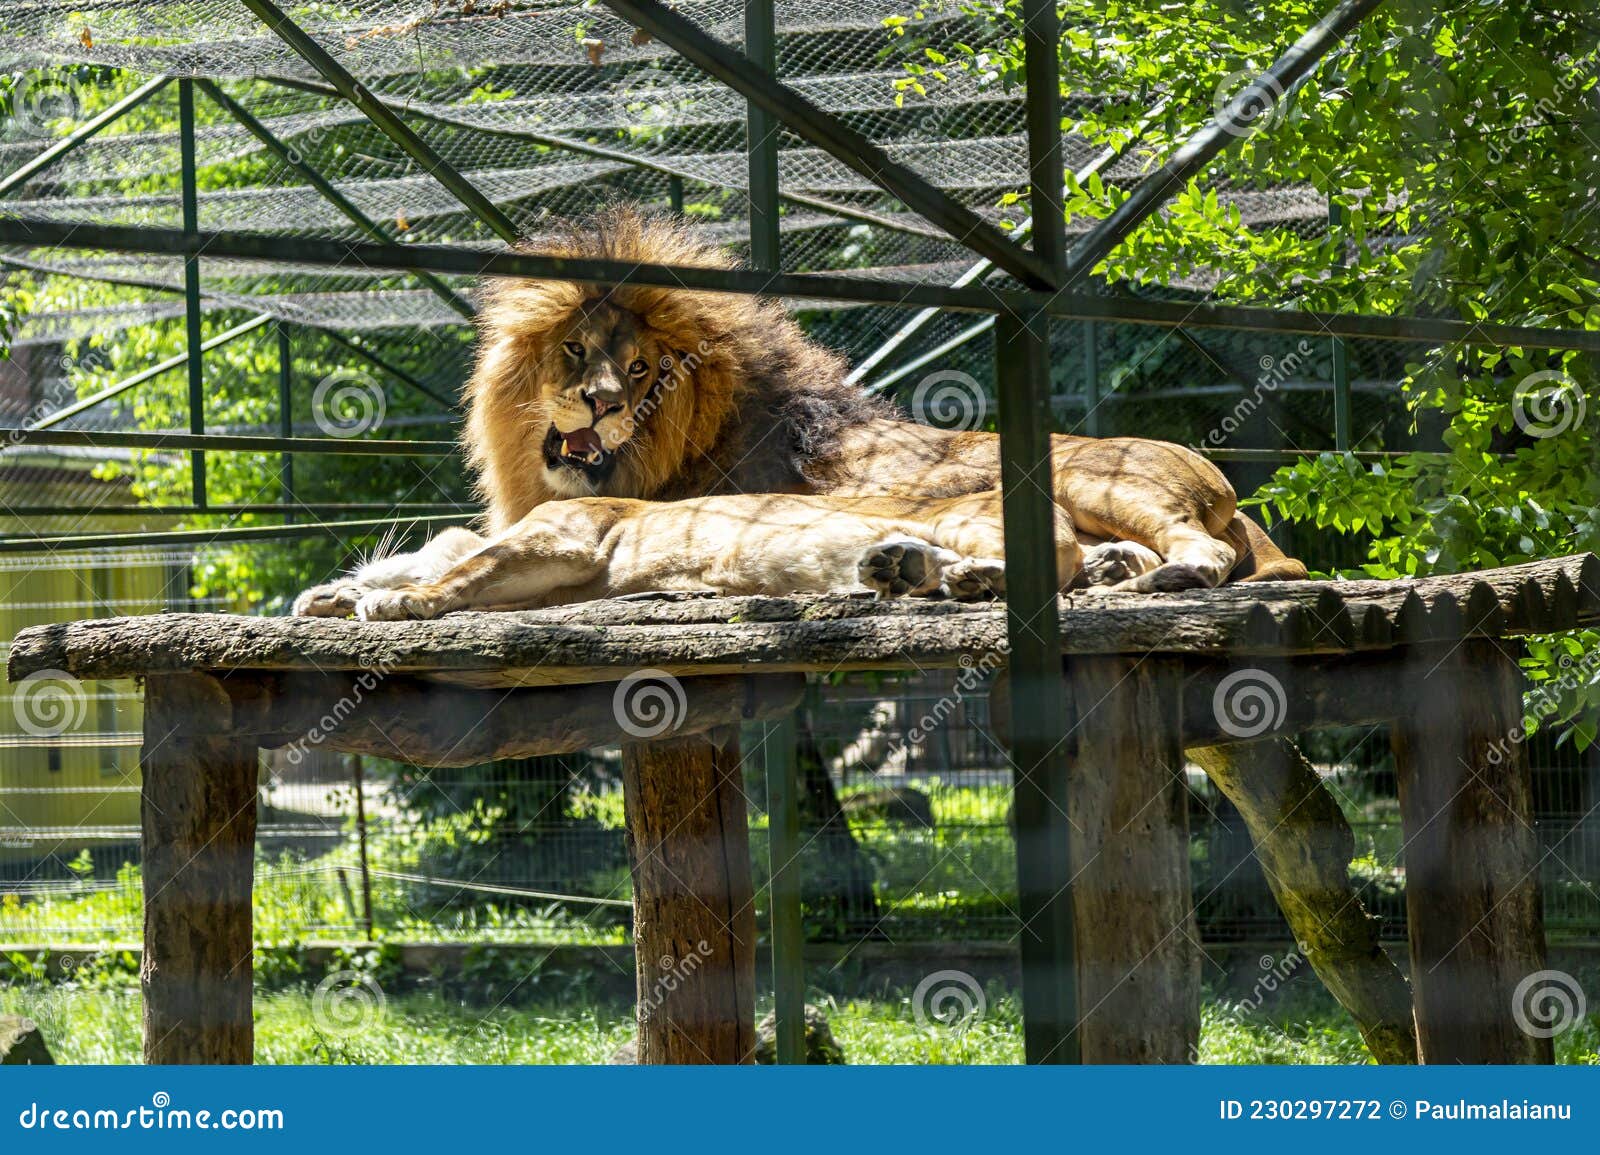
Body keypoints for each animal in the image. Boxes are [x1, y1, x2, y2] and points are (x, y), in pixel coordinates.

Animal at [293, 206, 1304, 619]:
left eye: (642, 368)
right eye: (576, 350)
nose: (600, 401)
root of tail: (1225, 487)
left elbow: (459, 561)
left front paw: (376, 593)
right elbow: (449, 551)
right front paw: (337, 591)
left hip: (1098, 477)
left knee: (1188, 550)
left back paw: (1159, 577)